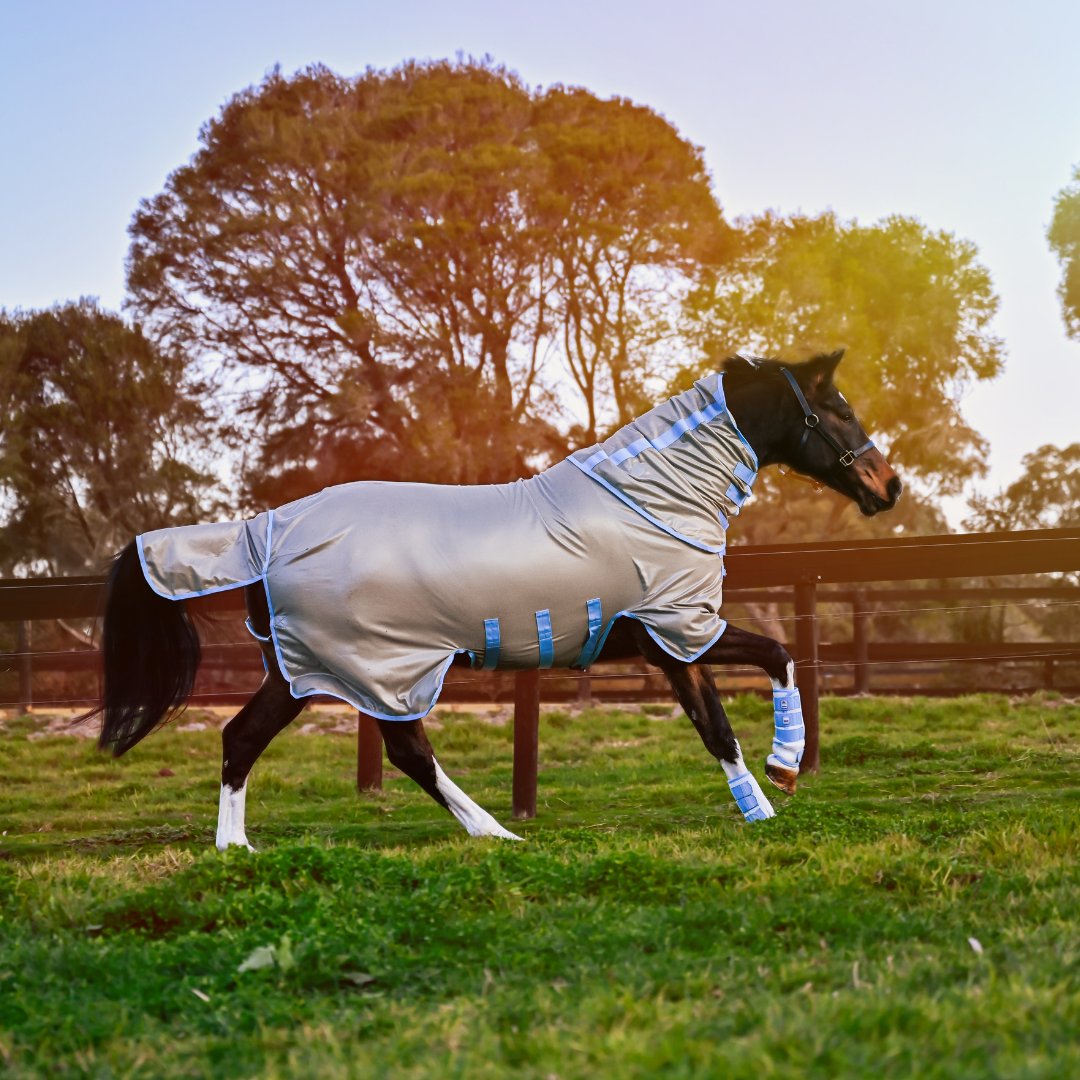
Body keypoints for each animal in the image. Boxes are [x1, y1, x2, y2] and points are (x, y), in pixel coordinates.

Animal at [88, 350, 901, 848]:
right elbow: (775, 661)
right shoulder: (680, 630)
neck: (646, 499)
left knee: (271, 740)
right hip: (351, 669)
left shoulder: (672, 647)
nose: (889, 486)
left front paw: (760, 806)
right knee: (370, 747)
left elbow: (717, 727)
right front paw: (783, 771)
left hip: (327, 671)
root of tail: (264, 530)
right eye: (839, 409)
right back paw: (491, 834)